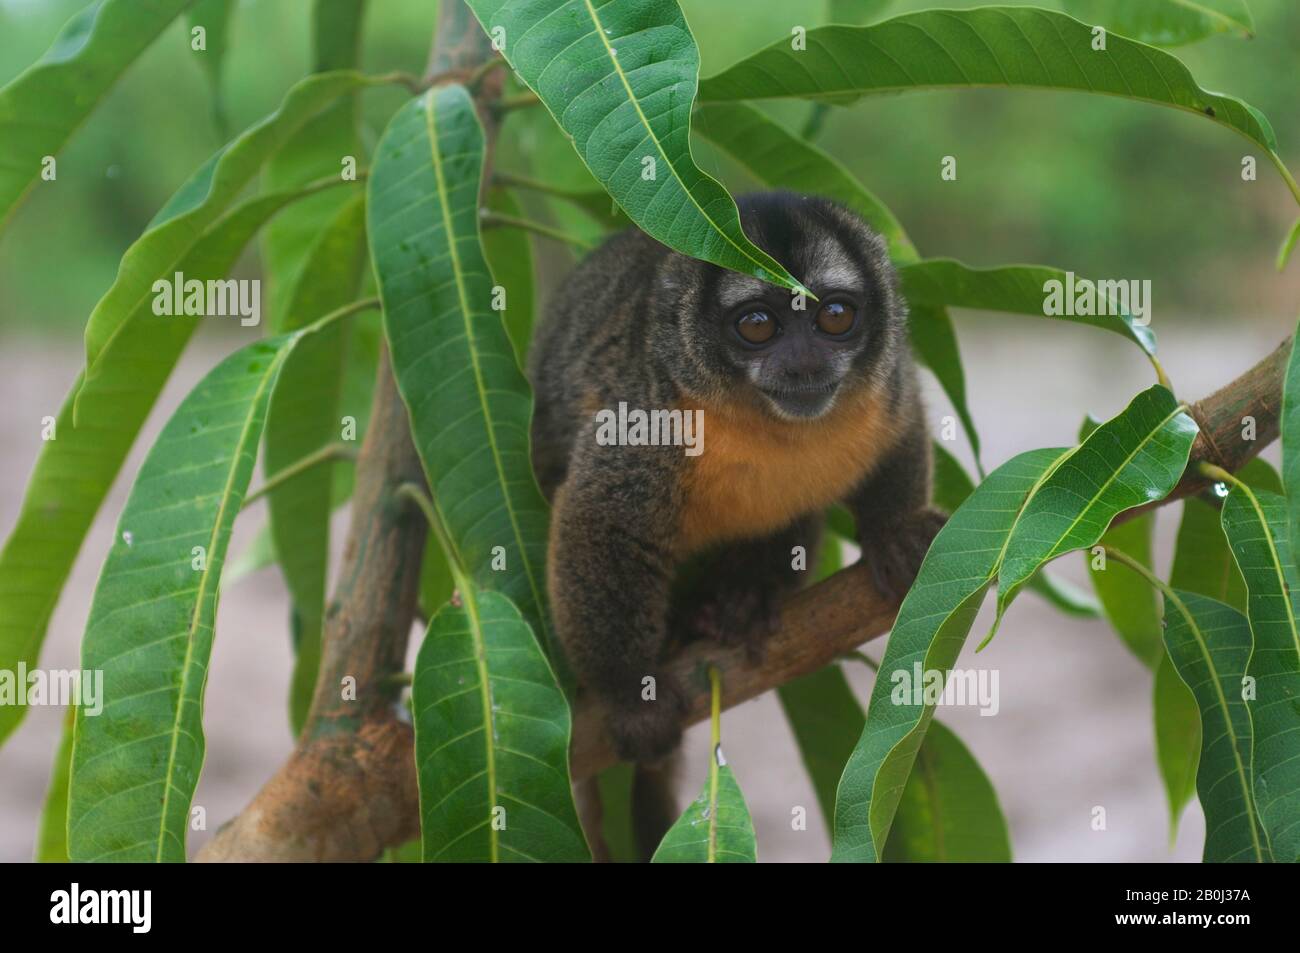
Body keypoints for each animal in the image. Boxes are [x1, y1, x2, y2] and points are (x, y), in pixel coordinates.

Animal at [528, 191, 946, 857]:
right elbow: (603, 519)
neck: (763, 421)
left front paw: (897, 533)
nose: (803, 364)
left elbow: (902, 426)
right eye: (757, 325)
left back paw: (735, 600)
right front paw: (631, 696)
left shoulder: (883, 387)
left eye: (834, 316)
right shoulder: (646, 418)